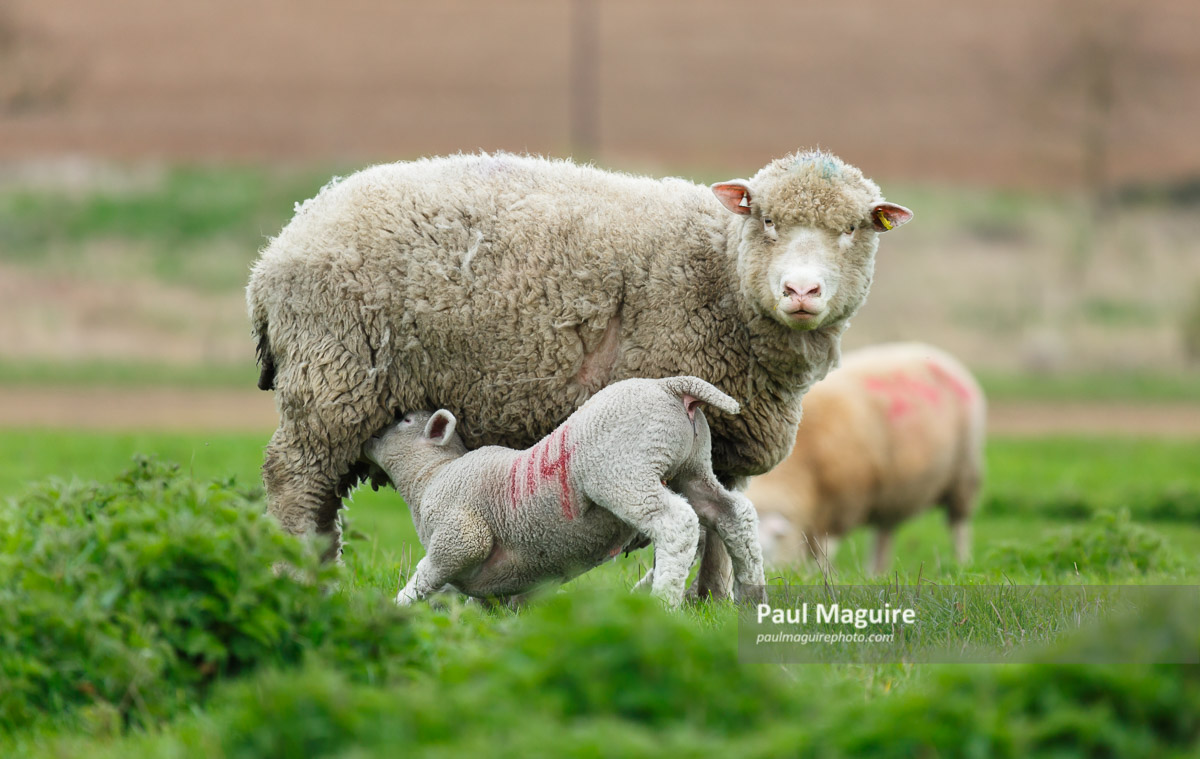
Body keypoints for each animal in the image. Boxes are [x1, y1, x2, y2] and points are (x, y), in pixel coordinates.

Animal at [361, 376, 765, 607]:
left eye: (405, 420)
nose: (369, 437)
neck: (429, 476)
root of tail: (673, 386)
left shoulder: (461, 533)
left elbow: (430, 573)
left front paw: (398, 603)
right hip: (691, 467)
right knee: (733, 515)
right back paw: (752, 596)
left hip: (624, 472)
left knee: (677, 523)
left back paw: (663, 603)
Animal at [748, 342, 986, 574]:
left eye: (768, 550)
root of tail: (944, 358)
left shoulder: (845, 501)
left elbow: (826, 549)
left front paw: (820, 576)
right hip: (893, 491)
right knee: (885, 532)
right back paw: (877, 573)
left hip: (964, 473)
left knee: (958, 525)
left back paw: (961, 563)